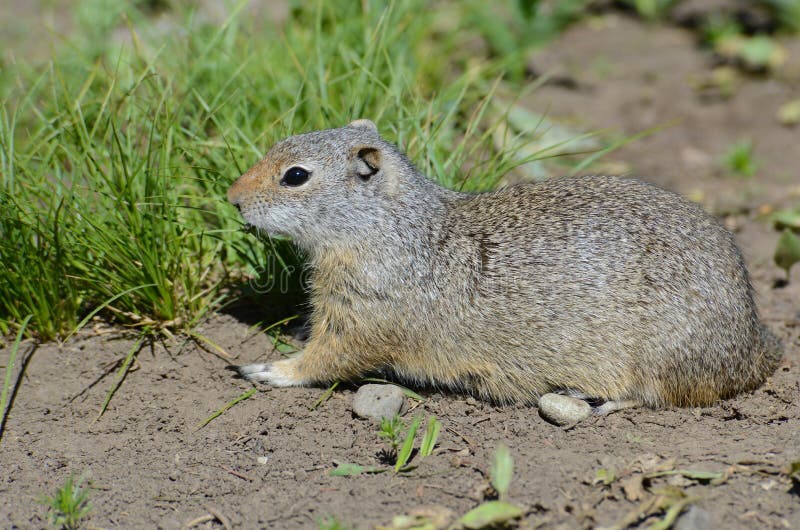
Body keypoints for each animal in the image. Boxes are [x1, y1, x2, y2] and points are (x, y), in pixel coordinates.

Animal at [227, 119, 782, 412]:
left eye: (295, 176)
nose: (231, 197)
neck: (391, 227)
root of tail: (753, 349)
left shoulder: (364, 316)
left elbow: (326, 360)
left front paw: (269, 368)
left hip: (663, 359)